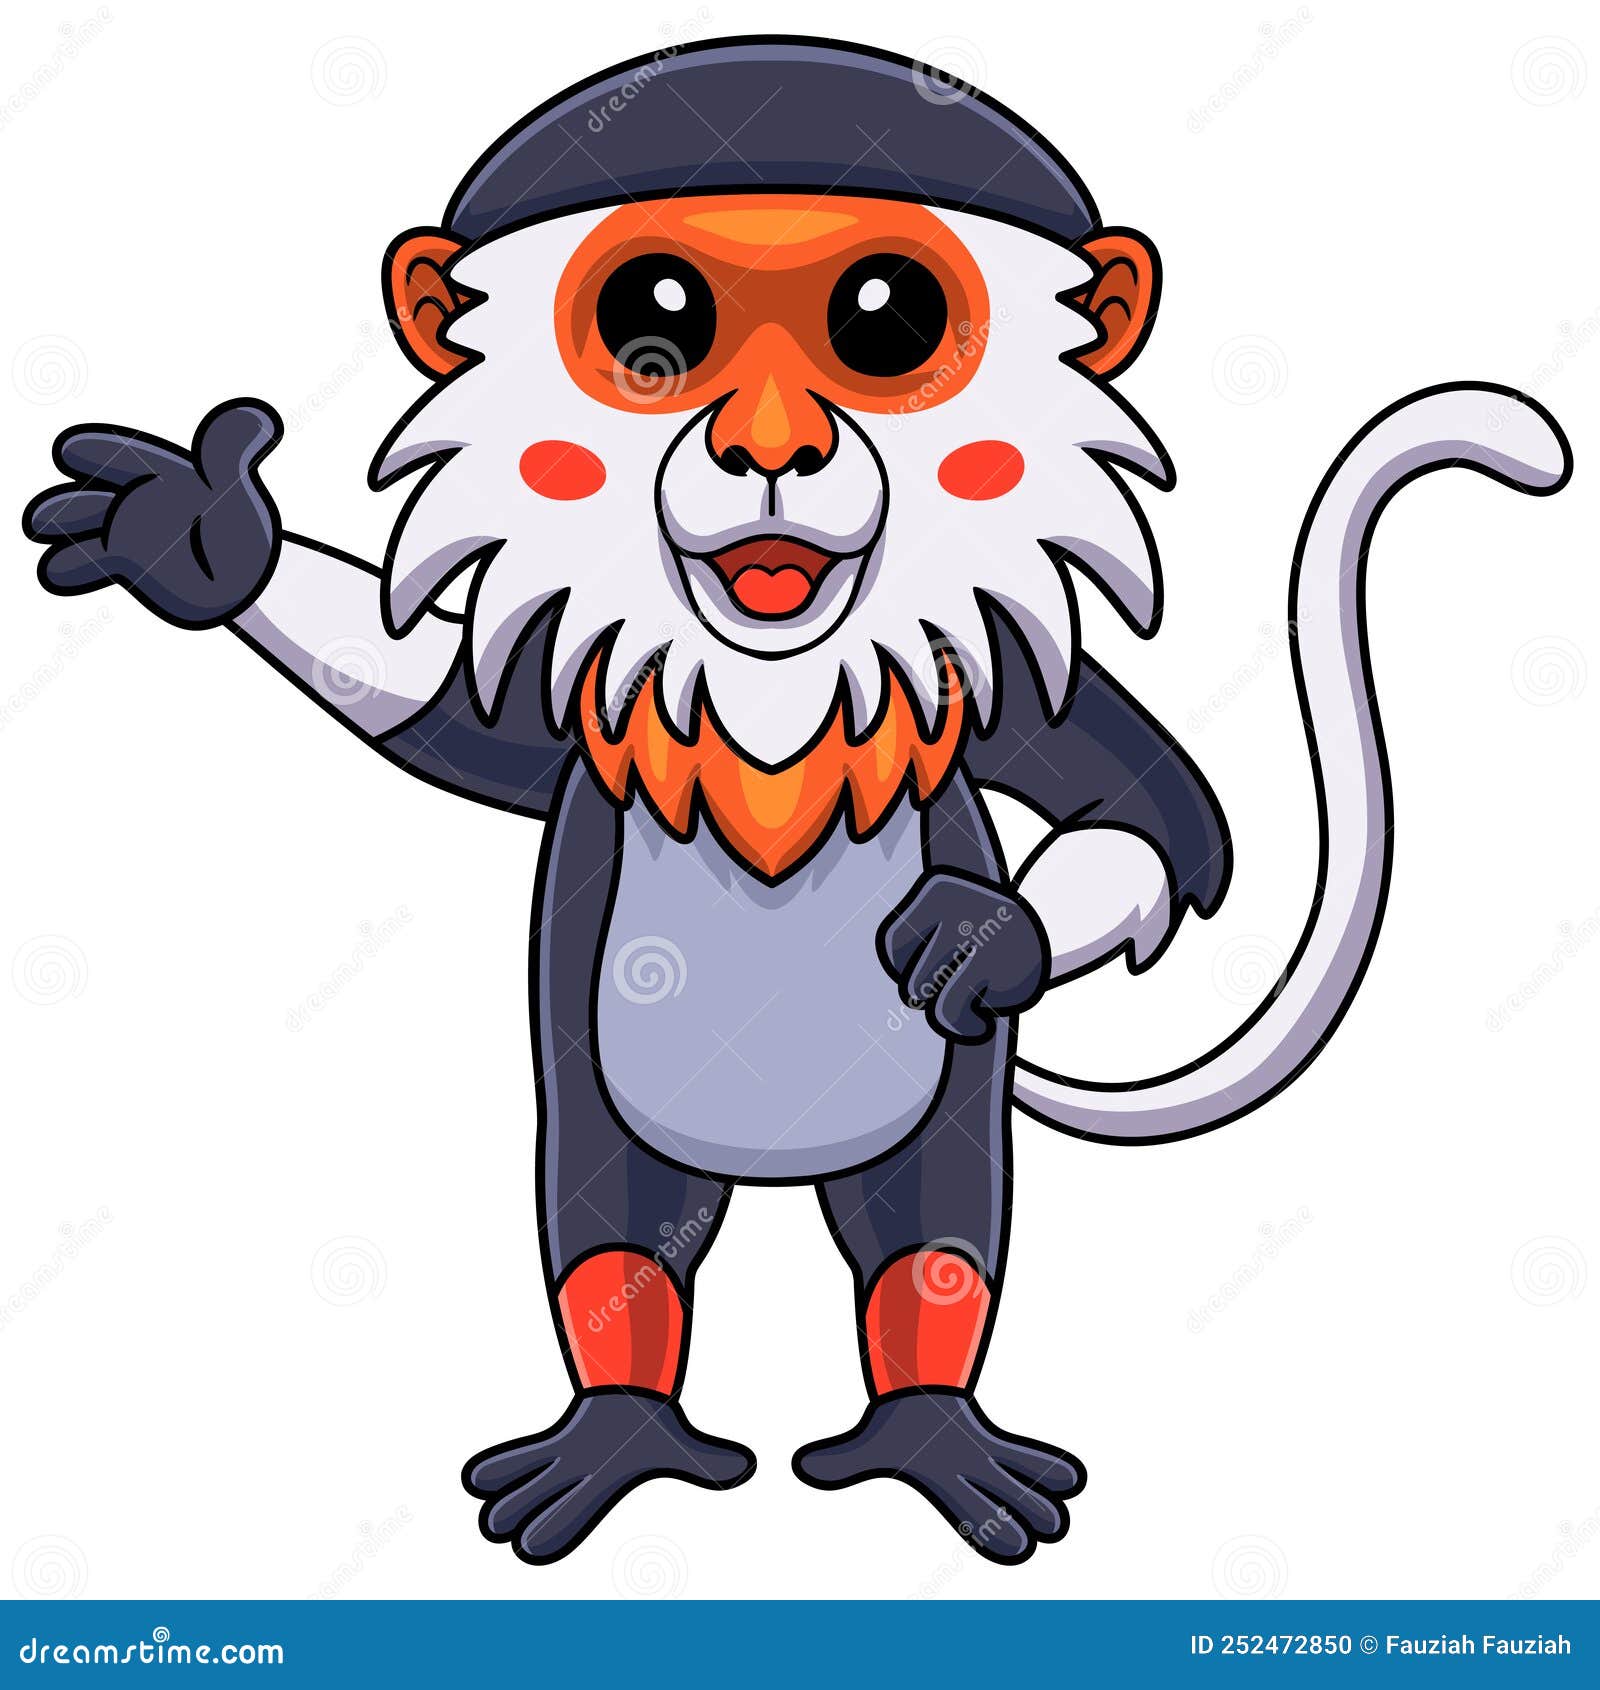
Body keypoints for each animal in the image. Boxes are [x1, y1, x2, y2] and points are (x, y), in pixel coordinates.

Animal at [22, 38, 1570, 1567]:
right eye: (655, 319)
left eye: (885, 320)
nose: (774, 443)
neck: (774, 708)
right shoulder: (579, 702)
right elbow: (437, 708)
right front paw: (204, 535)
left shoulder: (1004, 690)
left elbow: (1162, 816)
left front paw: (981, 931)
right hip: (610, 1119)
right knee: (617, 1242)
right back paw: (619, 1437)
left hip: (940, 1114)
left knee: (932, 1242)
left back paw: (933, 1439)